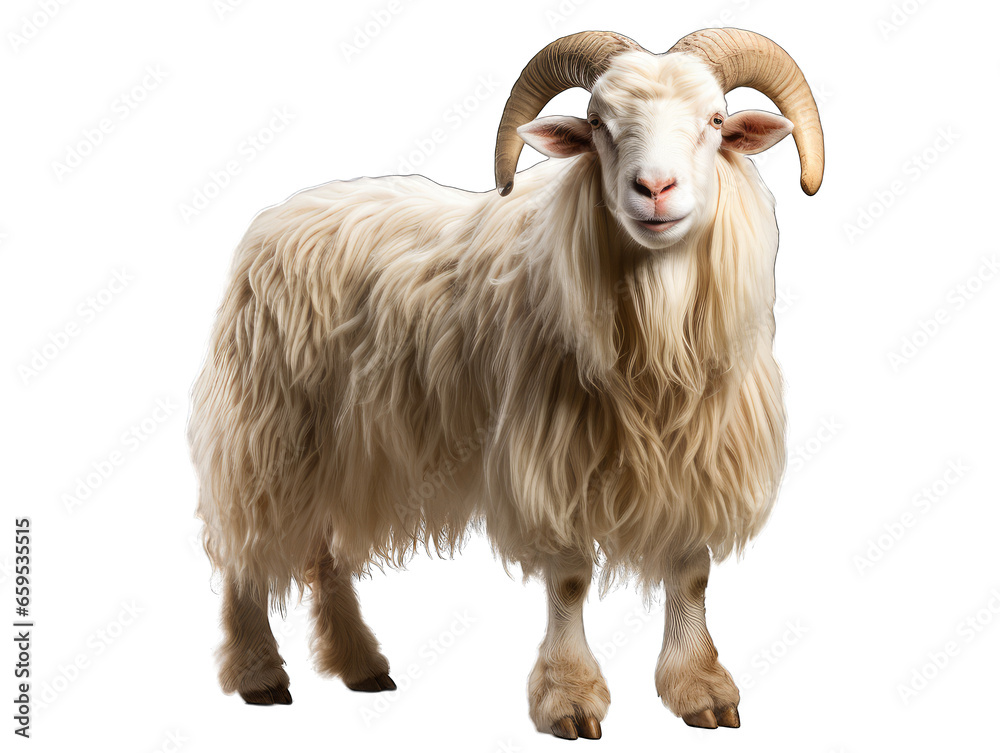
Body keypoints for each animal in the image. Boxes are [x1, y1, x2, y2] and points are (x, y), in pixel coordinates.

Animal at [189, 27, 824, 737]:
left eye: (715, 122)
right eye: (598, 123)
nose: (654, 188)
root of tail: (281, 213)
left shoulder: (700, 462)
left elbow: (690, 575)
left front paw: (701, 691)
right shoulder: (550, 461)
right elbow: (570, 580)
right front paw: (569, 698)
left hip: (353, 446)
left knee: (325, 554)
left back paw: (360, 666)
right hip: (268, 425)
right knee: (245, 548)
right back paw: (259, 675)